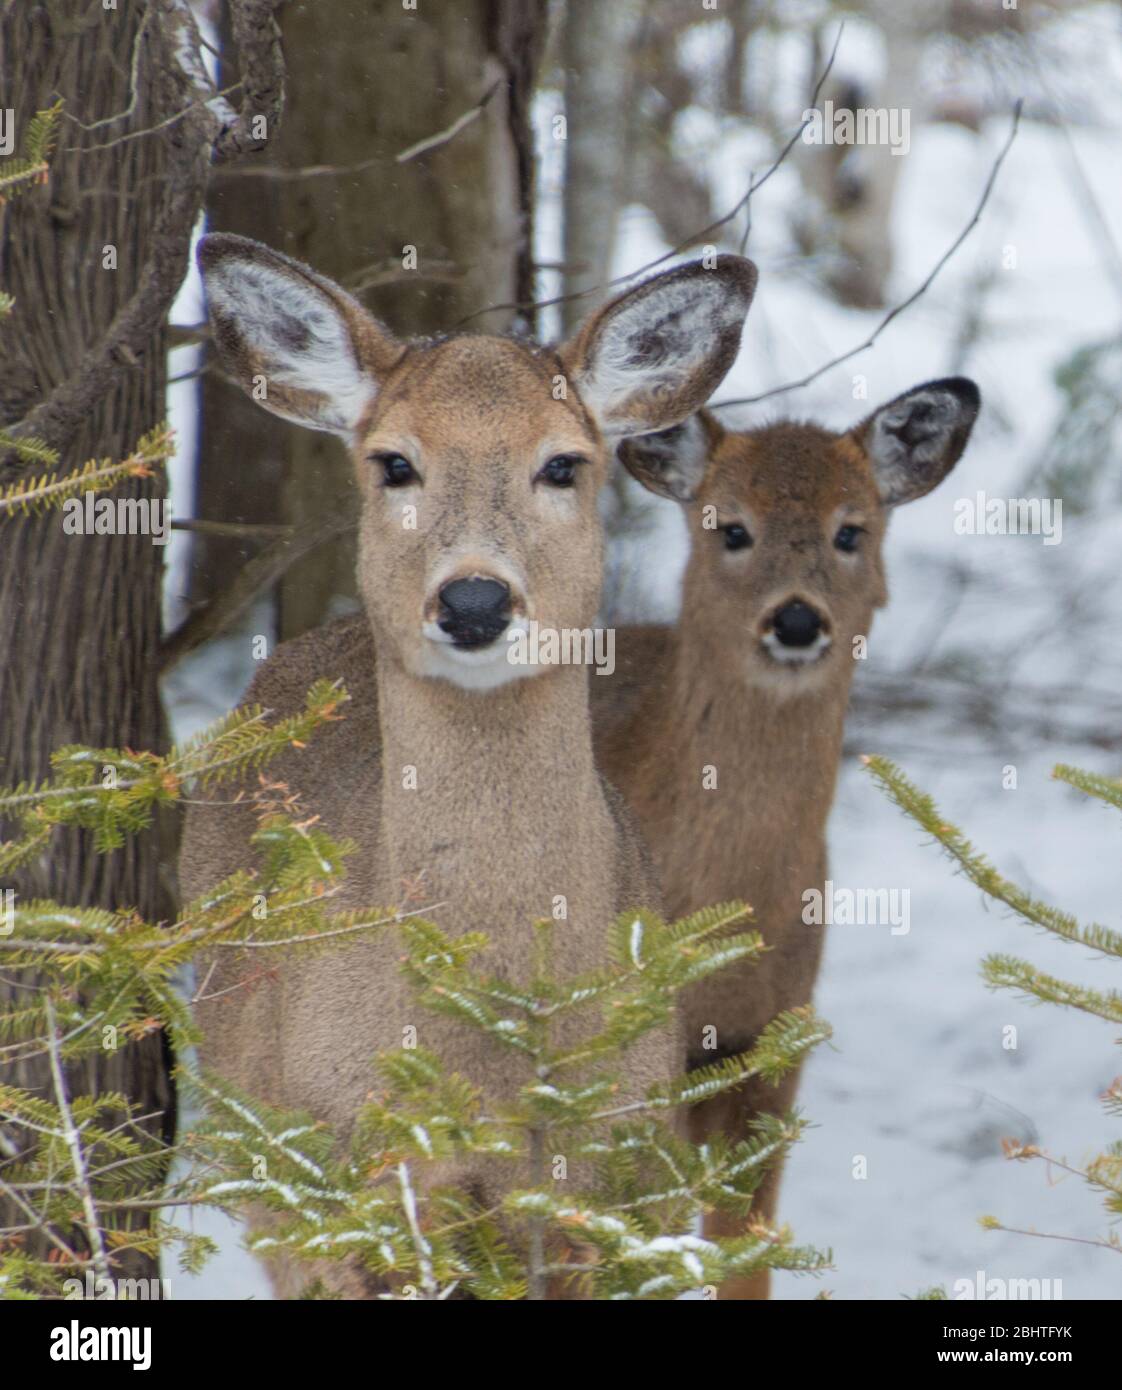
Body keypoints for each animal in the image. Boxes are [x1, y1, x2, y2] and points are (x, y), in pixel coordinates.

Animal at [178, 233, 758, 1297]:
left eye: (564, 463)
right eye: (394, 462)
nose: (476, 600)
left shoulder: (624, 1184)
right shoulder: (344, 1187)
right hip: (262, 1156)